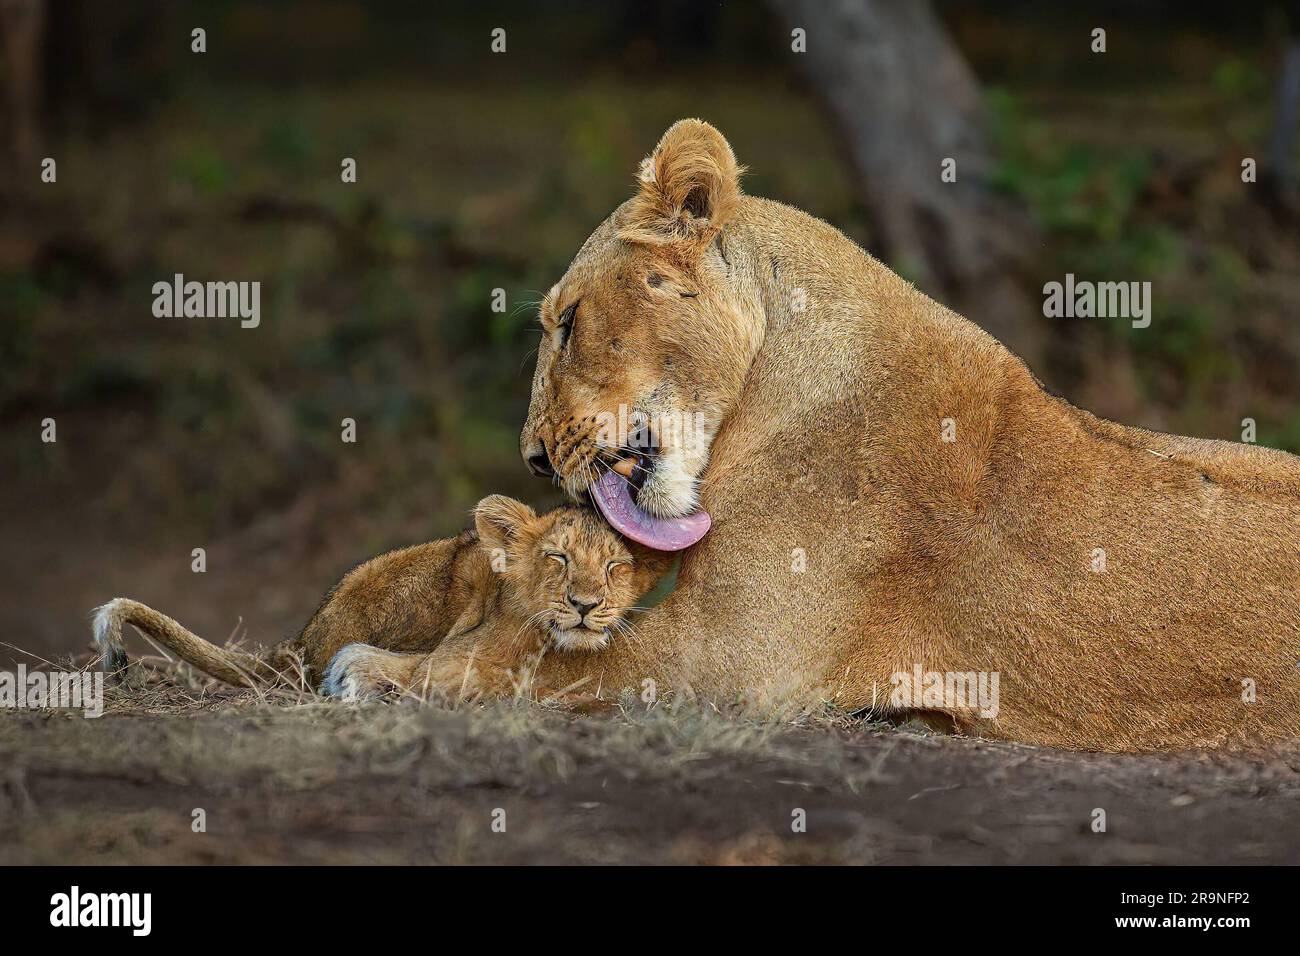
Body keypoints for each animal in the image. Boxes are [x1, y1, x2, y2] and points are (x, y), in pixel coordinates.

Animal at [92, 496, 668, 694]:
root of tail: (303, 638)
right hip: (450, 571)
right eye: (558, 558)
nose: (585, 606)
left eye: (616, 566)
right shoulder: (462, 655)